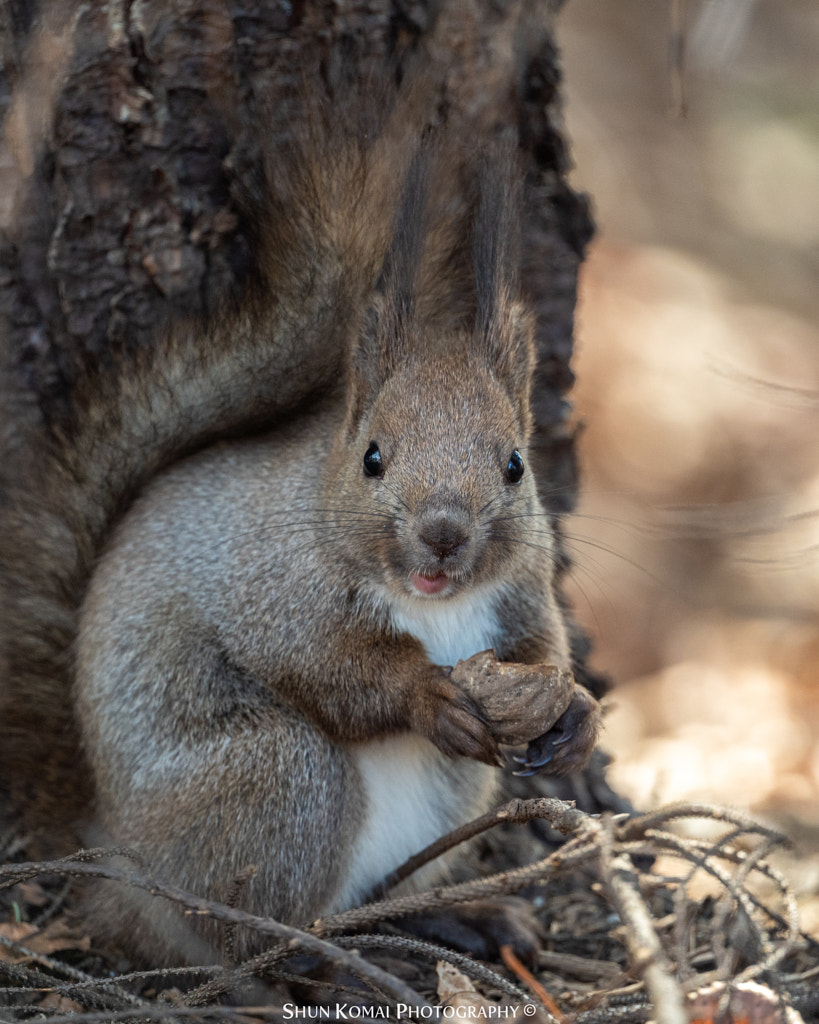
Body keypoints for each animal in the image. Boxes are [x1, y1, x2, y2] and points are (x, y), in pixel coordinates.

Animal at [0, 90, 601, 964]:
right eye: (373, 457)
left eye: (515, 465)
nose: (443, 534)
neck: (427, 601)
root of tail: (113, 858)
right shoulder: (272, 583)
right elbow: (319, 663)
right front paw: (424, 693)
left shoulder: (520, 586)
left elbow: (542, 646)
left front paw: (573, 711)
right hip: (277, 782)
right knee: (230, 936)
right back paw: (307, 970)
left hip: (444, 795)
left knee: (374, 899)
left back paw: (458, 918)